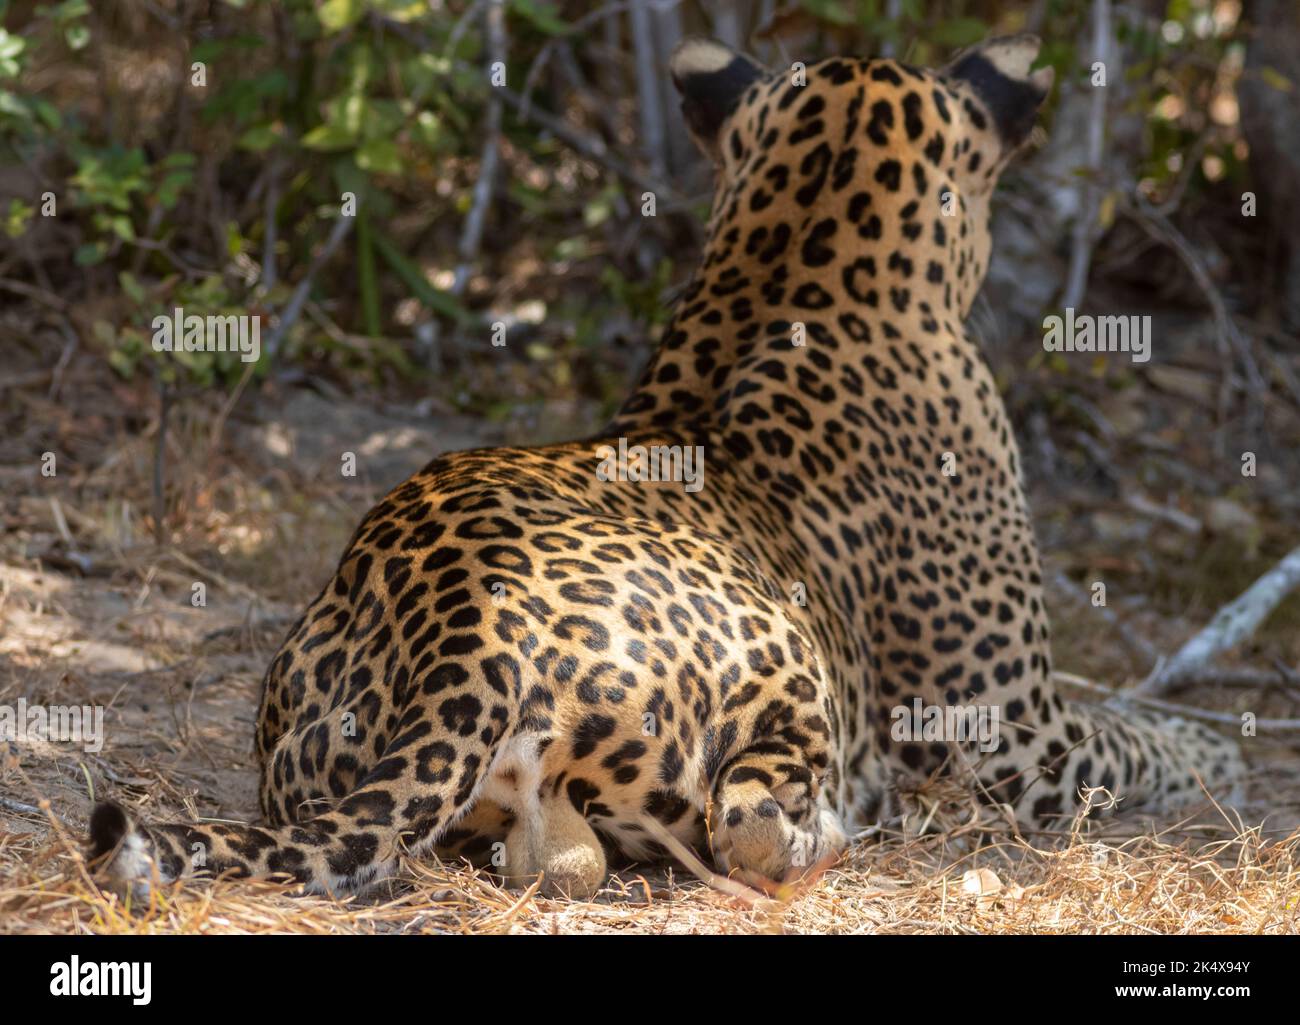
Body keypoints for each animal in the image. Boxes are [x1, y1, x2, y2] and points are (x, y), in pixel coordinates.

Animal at [89, 33, 1244, 902]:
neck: (797, 262)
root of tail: (464, 622)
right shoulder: (1005, 728)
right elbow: (1136, 739)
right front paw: (1210, 745)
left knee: (553, 856)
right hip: (787, 660)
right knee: (745, 817)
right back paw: (830, 835)